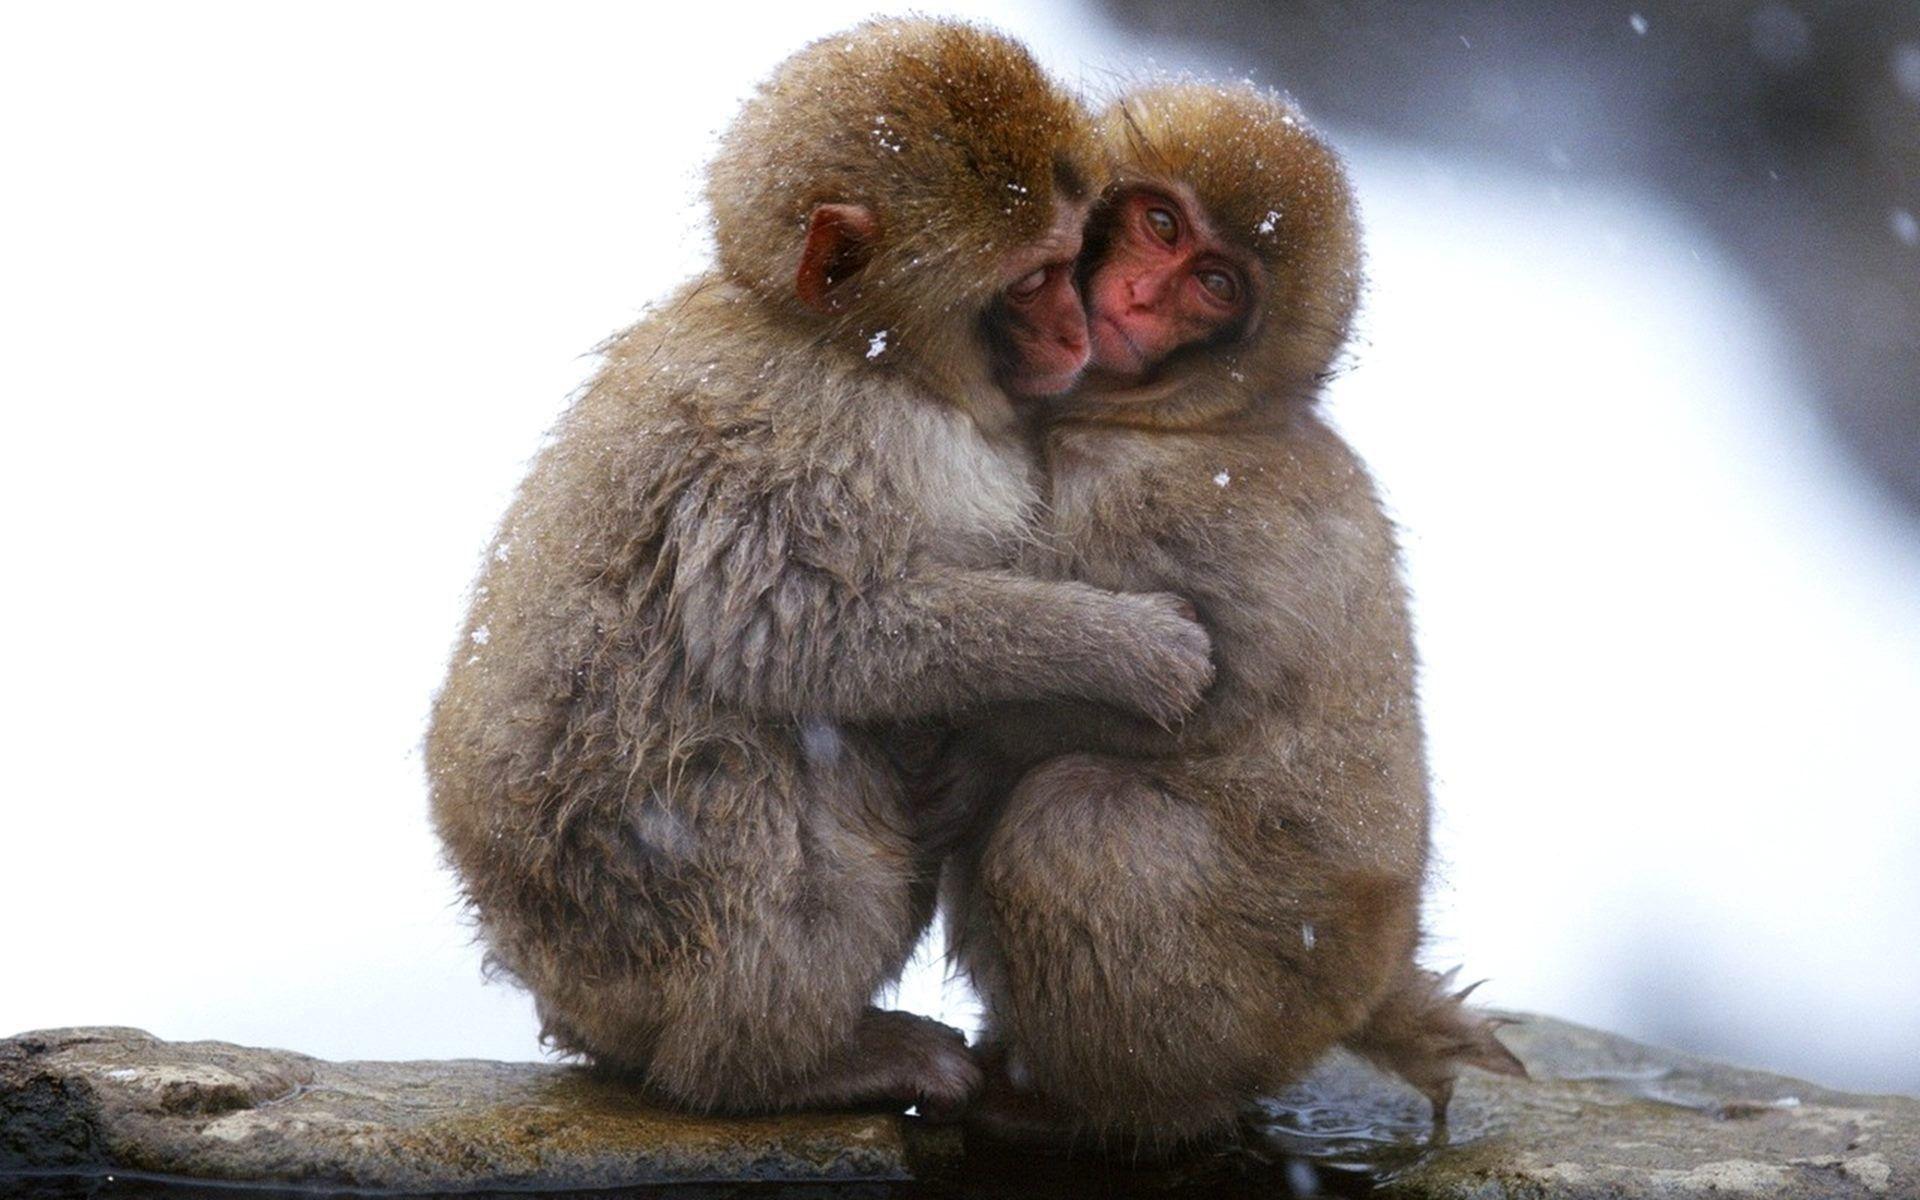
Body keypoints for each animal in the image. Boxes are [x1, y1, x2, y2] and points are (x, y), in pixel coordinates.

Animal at [422, 21, 1220, 1120]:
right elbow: (794, 632)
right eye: (1030, 282)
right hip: (649, 921)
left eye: (1075, 260)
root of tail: (562, 988)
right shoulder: (799, 440)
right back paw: (778, 1065)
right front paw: (1125, 650)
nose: (1077, 331)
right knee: (770, 774)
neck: (857, 354)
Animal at [938, 82, 1526, 1148]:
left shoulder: (1154, 498)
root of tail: (1375, 978)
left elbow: (1174, 689)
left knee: (1076, 825)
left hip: (1261, 983)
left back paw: (1083, 1108)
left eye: (1213, 284)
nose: (1136, 300)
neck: (1177, 414)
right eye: (1161, 225)